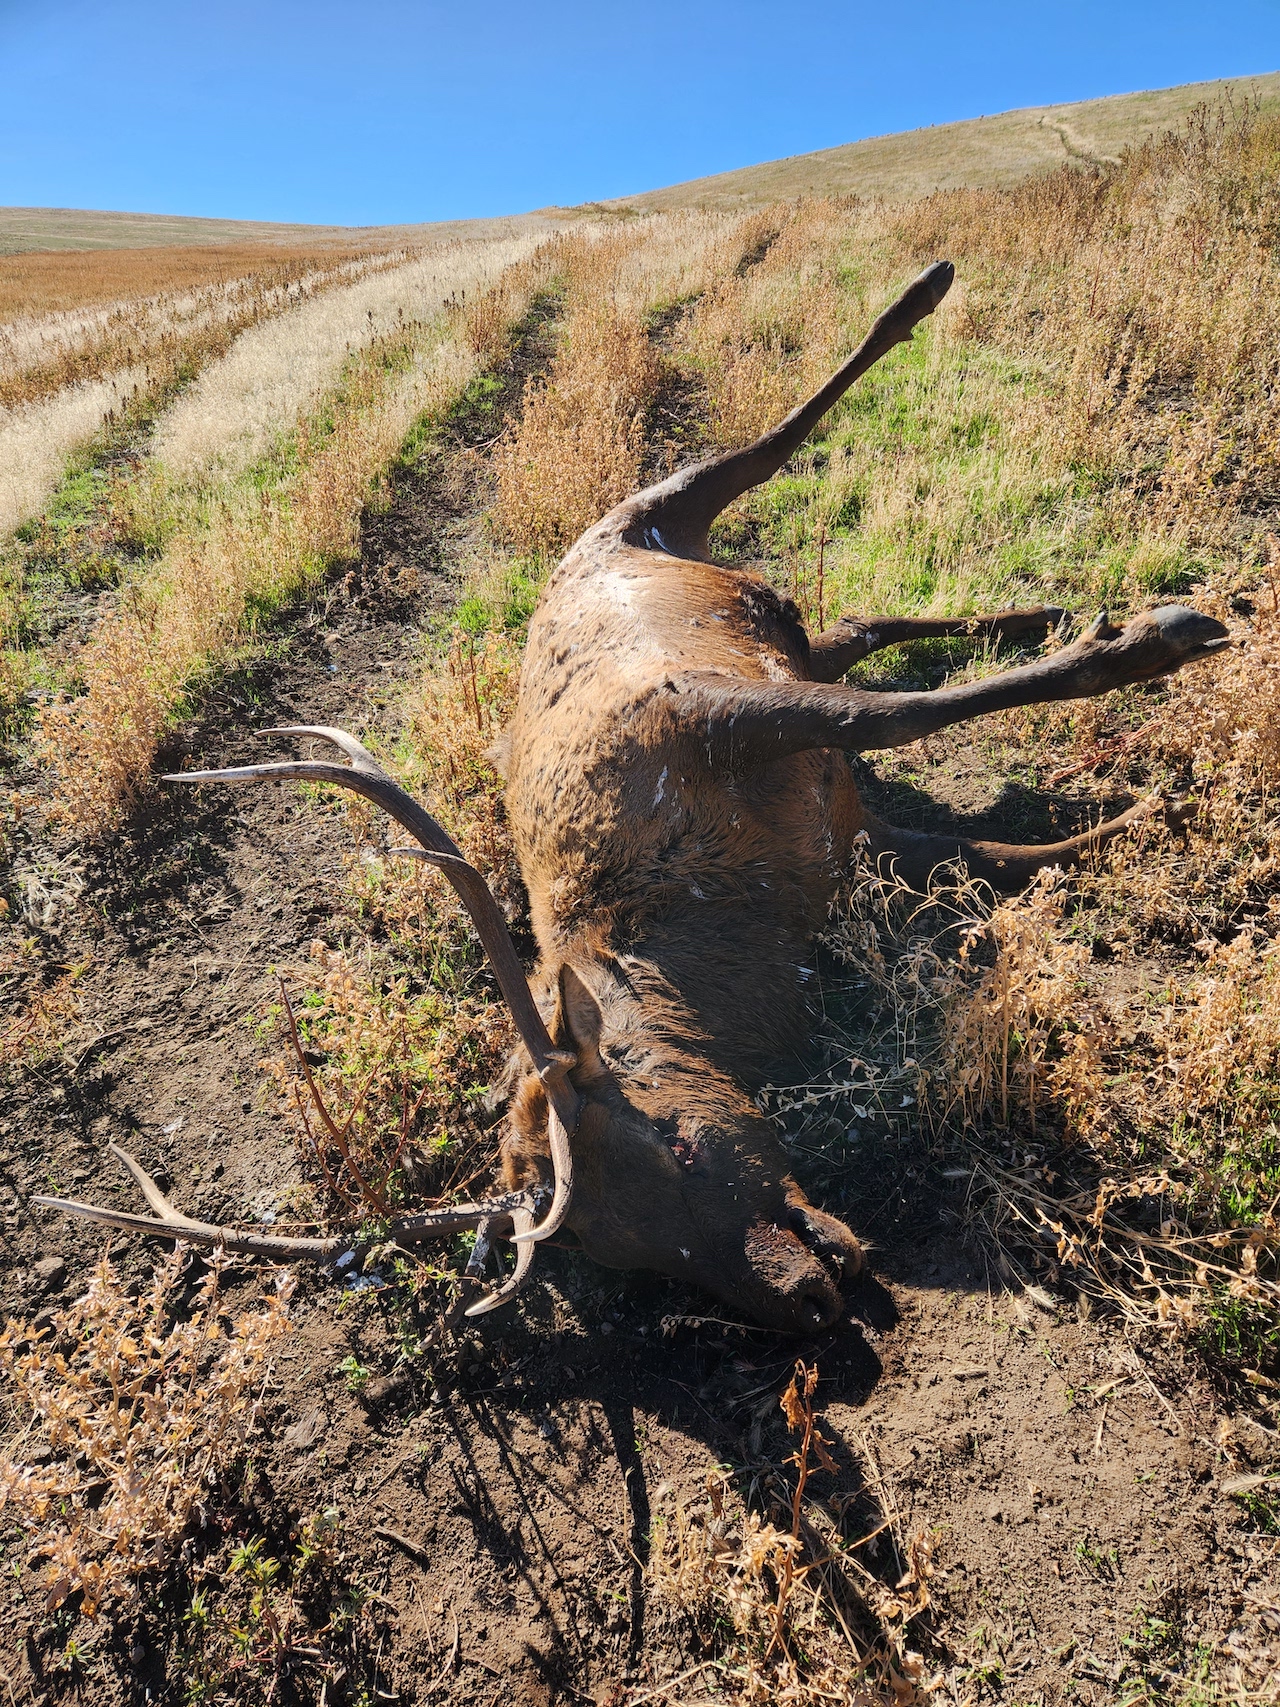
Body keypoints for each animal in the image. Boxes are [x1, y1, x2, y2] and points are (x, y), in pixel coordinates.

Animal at [39, 260, 1229, 1333]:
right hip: (772, 614)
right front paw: (1151, 808)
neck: (731, 926)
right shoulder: (861, 839)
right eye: (627, 1252)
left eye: (672, 1139)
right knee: (858, 622)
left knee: (774, 447)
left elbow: (889, 720)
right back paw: (1040, 606)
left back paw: (926, 294)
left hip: (666, 505)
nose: (803, 1301)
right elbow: (1008, 855)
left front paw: (1155, 642)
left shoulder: (718, 713)